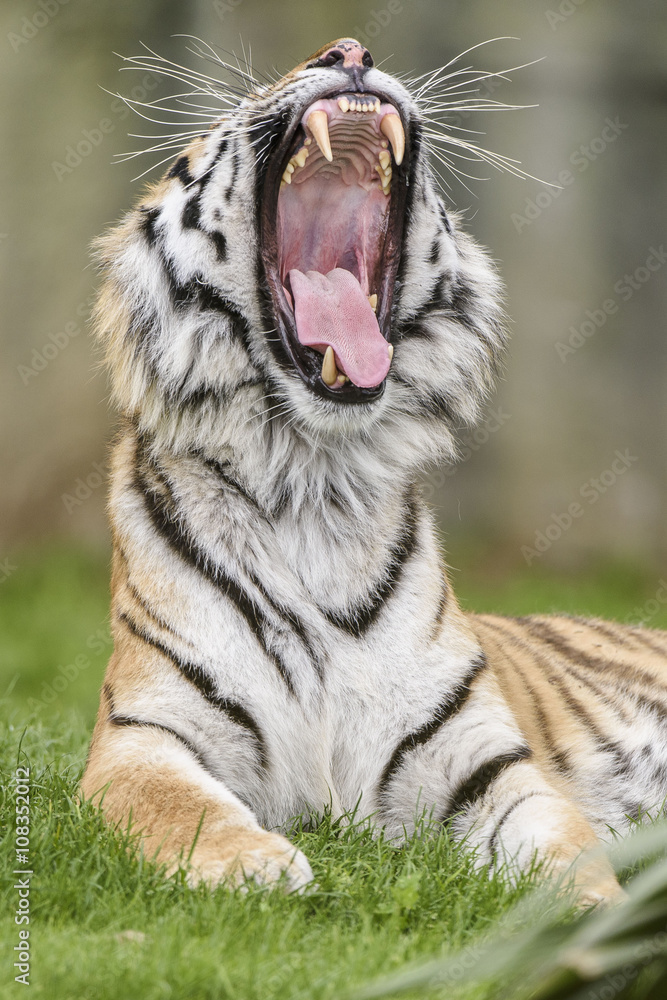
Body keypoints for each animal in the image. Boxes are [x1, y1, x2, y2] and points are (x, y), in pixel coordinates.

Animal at [81, 37, 667, 908]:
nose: (349, 51)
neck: (311, 478)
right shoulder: (139, 738)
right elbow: (174, 806)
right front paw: (255, 863)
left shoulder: (486, 762)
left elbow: (563, 842)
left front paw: (586, 914)